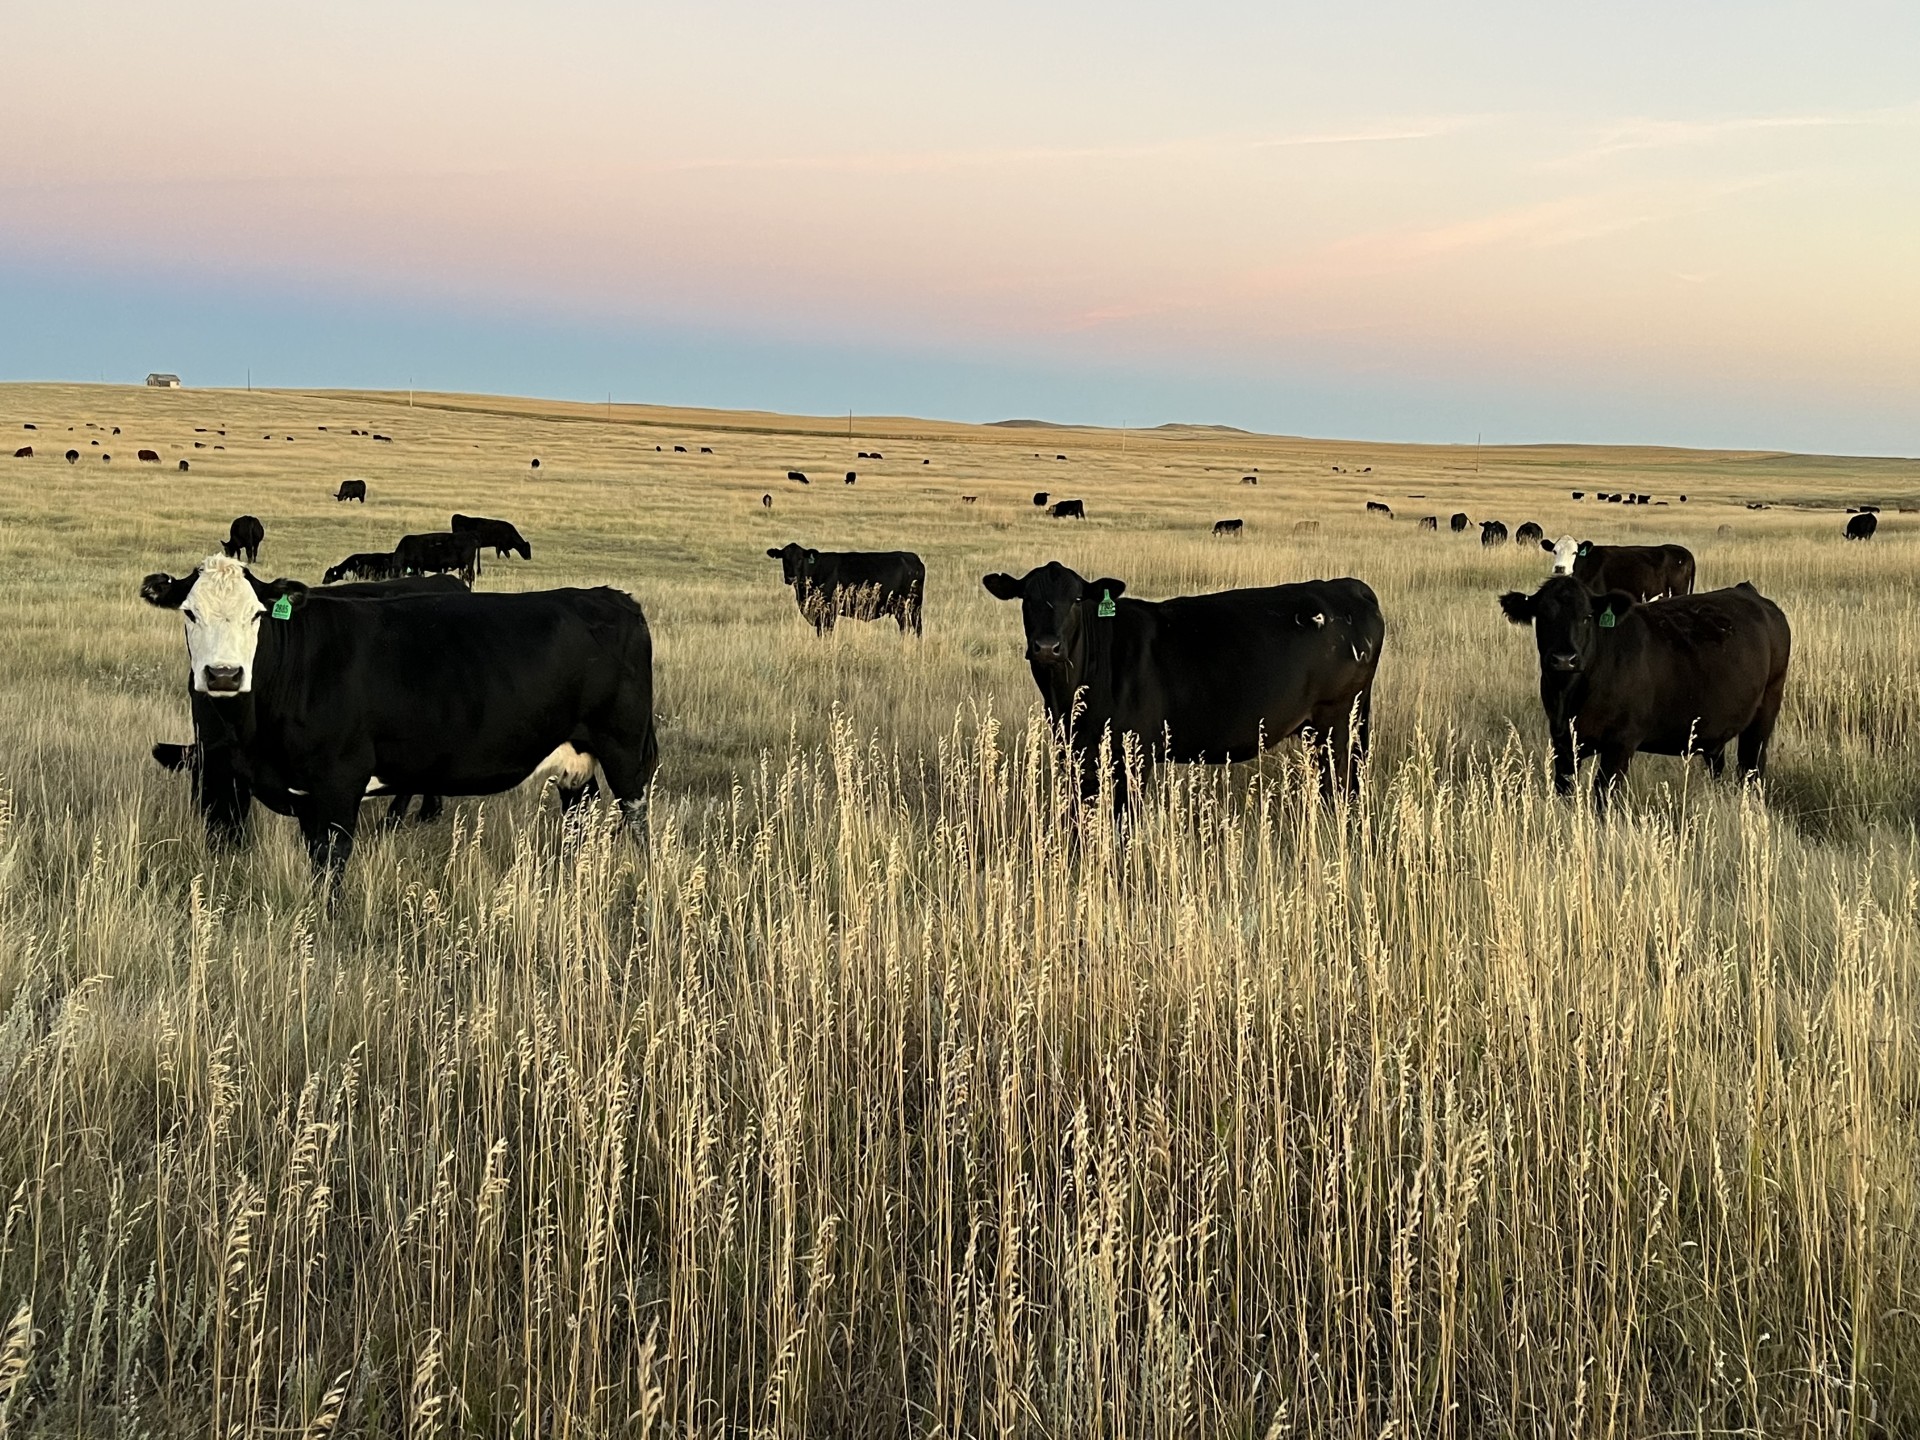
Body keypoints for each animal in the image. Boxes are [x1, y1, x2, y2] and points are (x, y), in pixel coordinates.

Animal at [141, 560, 656, 873]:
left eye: (256, 615)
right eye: (189, 613)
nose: (223, 674)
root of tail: (613, 597)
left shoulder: (338, 783)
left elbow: (330, 867)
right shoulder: (278, 788)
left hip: (624, 750)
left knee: (636, 819)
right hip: (576, 757)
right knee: (580, 819)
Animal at [766, 543, 925, 636]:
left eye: (800, 559)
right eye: (784, 559)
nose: (791, 577)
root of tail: (913, 557)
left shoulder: (829, 611)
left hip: (910, 605)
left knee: (913, 627)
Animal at [980, 562, 1383, 810]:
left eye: (1077, 599)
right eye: (1026, 599)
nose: (1048, 647)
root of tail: (1349, 587)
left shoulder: (1135, 752)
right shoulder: (1076, 752)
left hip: (1339, 721)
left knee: (1344, 787)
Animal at [1498, 577, 1789, 811]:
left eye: (1587, 616)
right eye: (1542, 616)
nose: (1563, 659)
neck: (1570, 695)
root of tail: (1749, 593)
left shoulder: (1621, 743)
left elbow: (1603, 795)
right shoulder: (1563, 742)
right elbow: (1565, 790)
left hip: (1764, 714)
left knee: (1751, 768)